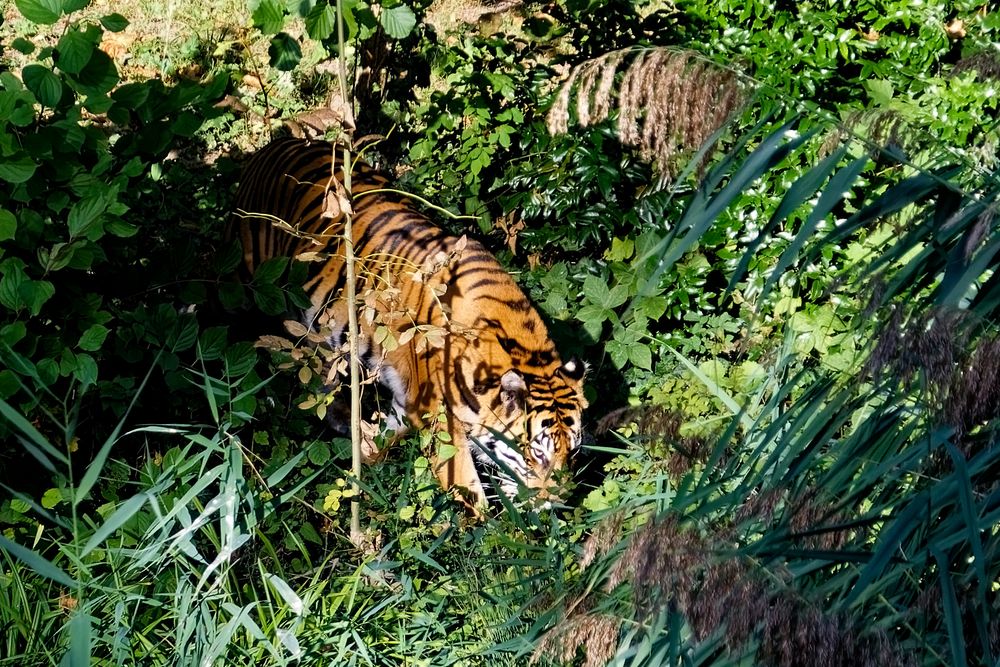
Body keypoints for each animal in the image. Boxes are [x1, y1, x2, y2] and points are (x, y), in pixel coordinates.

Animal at [230, 136, 587, 511]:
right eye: (537, 454)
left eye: (573, 452)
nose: (556, 504)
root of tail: (275, 144)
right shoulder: (438, 421)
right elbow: (468, 492)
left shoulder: (410, 403)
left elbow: (387, 434)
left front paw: (364, 459)